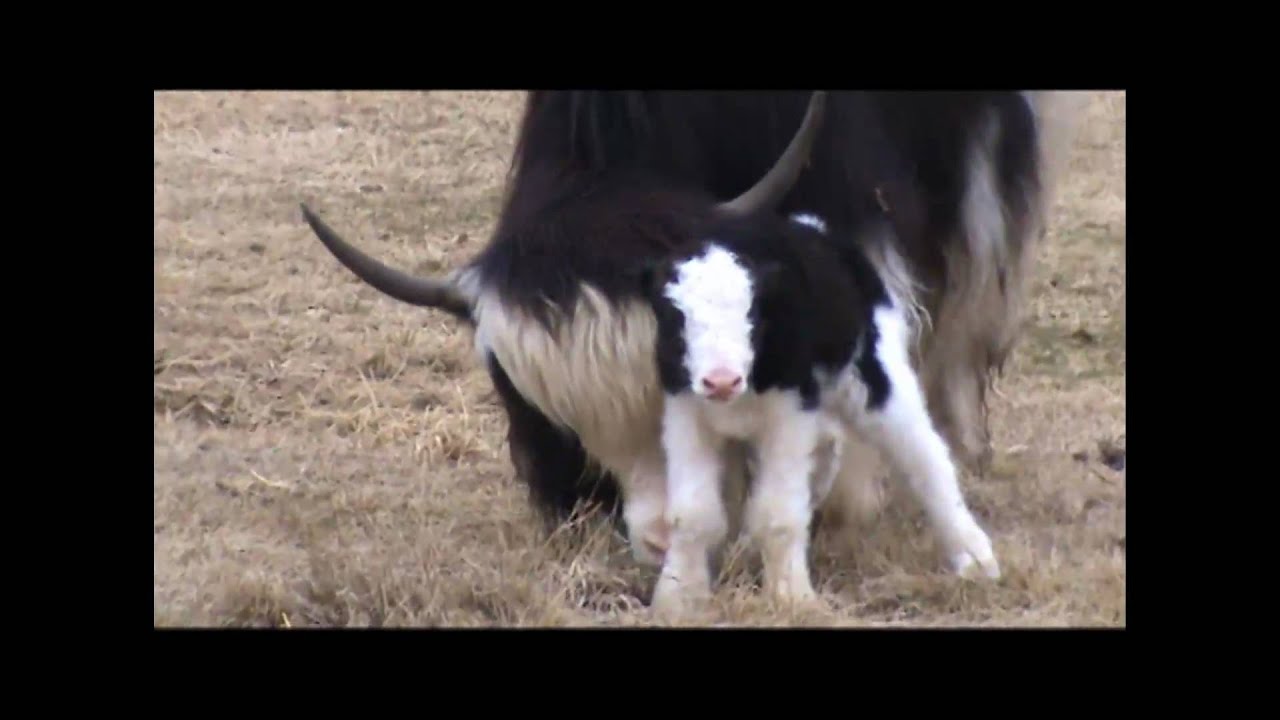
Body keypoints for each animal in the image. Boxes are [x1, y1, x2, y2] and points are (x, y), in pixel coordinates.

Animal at [640, 207, 1000, 613]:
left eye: (754, 314)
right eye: (675, 316)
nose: (721, 381)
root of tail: (814, 228)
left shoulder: (790, 414)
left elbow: (779, 513)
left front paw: (791, 597)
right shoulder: (685, 413)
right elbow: (692, 513)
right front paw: (678, 596)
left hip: (877, 377)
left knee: (925, 456)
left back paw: (974, 557)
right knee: (829, 448)